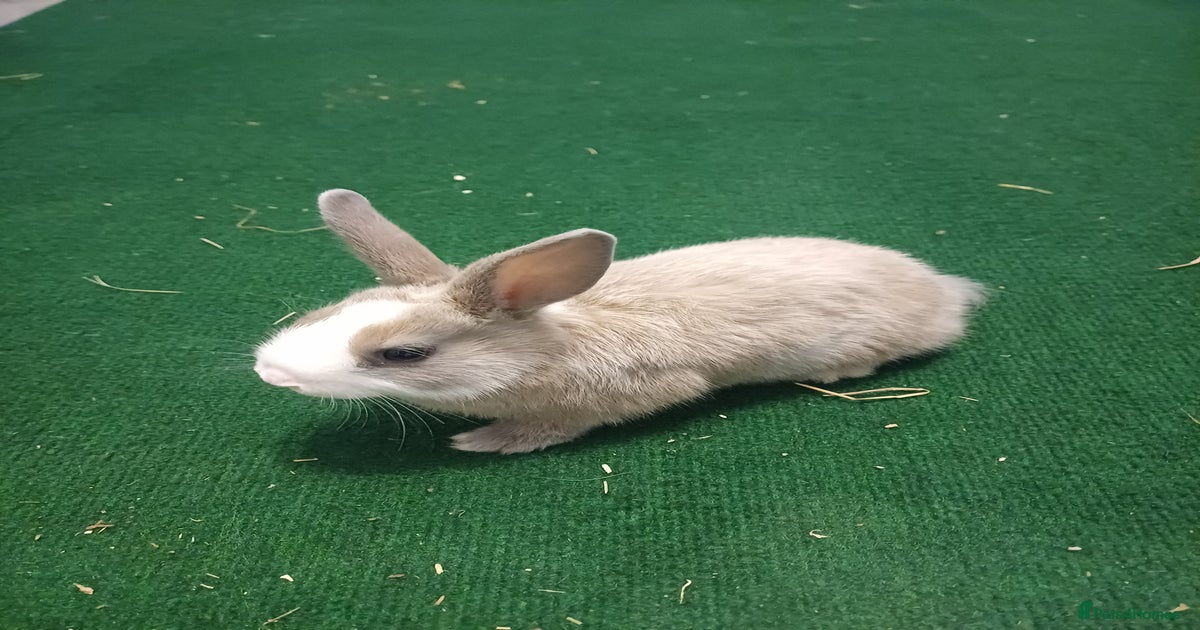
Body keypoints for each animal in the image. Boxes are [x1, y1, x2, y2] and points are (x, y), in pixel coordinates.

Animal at [254, 188, 984, 454]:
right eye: (332, 309)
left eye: (403, 355)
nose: (269, 371)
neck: (547, 344)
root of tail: (949, 293)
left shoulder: (624, 393)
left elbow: (547, 429)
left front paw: (482, 442)